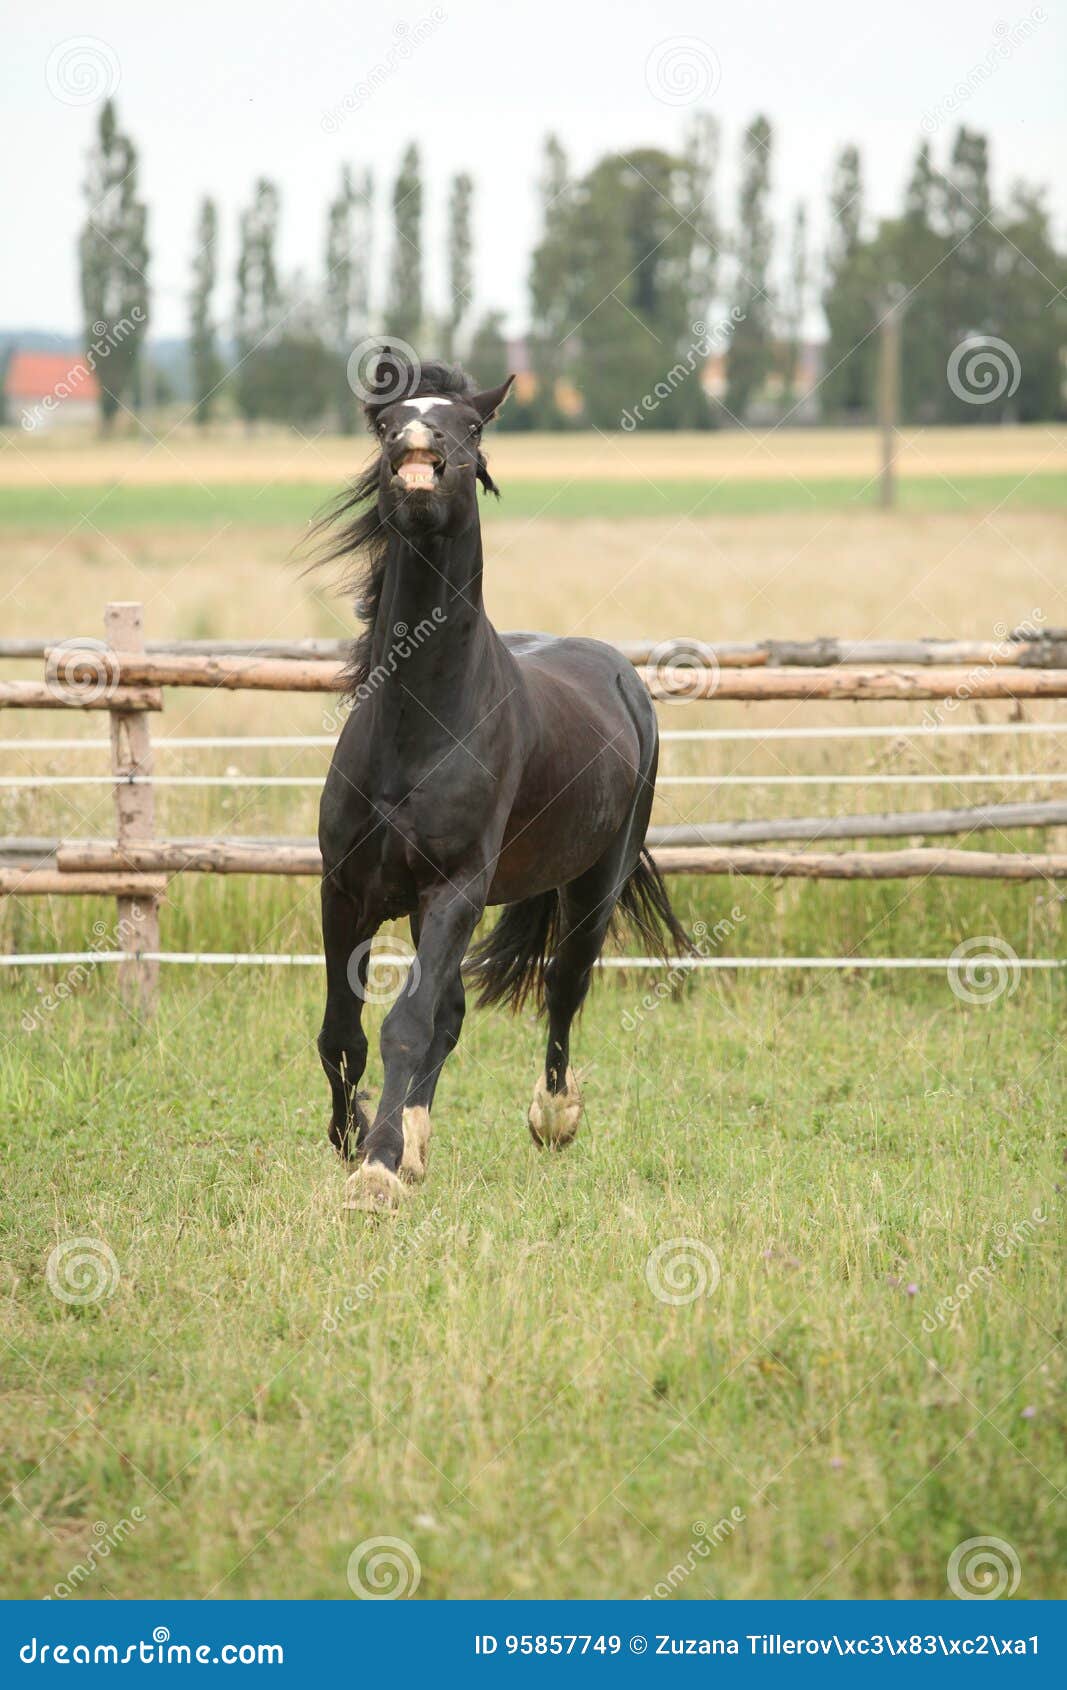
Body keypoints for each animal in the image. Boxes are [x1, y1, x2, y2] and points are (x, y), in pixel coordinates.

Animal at [313, 349, 688, 1212]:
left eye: (470, 425)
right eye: (387, 422)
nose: (419, 453)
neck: (416, 727)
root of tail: (621, 674)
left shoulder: (453, 888)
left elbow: (407, 1025)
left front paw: (376, 1171)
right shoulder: (346, 889)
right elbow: (345, 1032)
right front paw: (359, 1141)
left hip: (591, 886)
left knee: (562, 986)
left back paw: (553, 1117)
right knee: (450, 1010)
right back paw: (418, 1140)